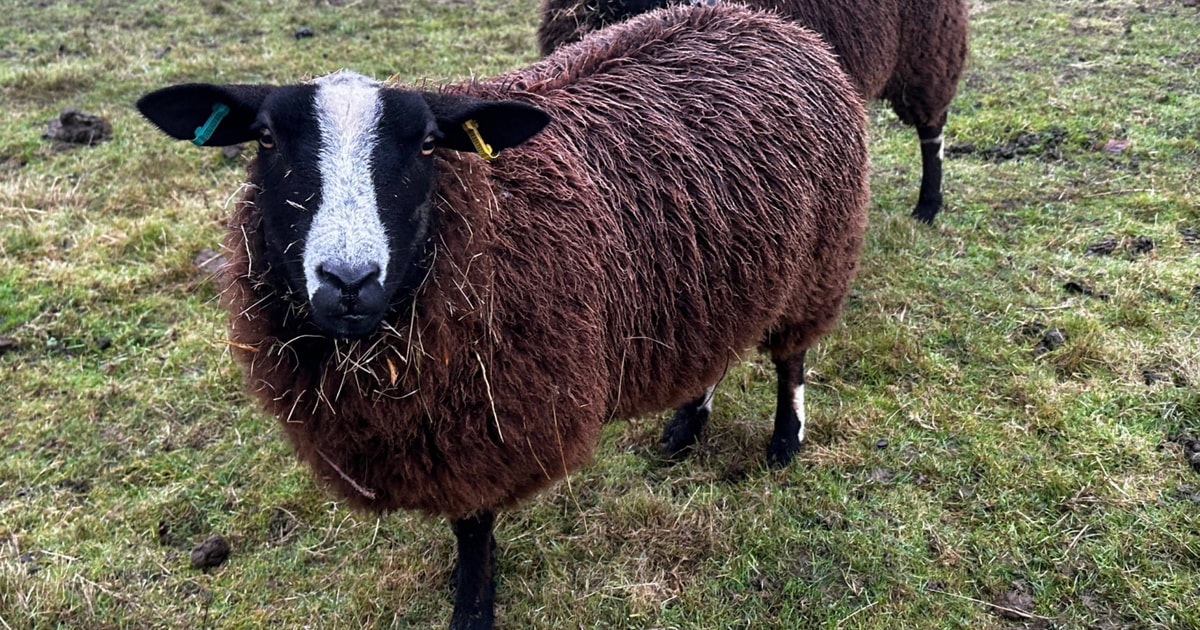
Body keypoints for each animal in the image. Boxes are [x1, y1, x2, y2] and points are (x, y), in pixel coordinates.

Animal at [136, 5, 869, 628]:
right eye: (263, 138)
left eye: (429, 144)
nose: (349, 282)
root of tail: (774, 25)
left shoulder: (488, 421)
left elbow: (473, 524)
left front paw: (473, 604)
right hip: (728, 279)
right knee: (720, 348)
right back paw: (685, 426)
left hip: (817, 264)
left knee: (790, 358)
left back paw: (784, 443)